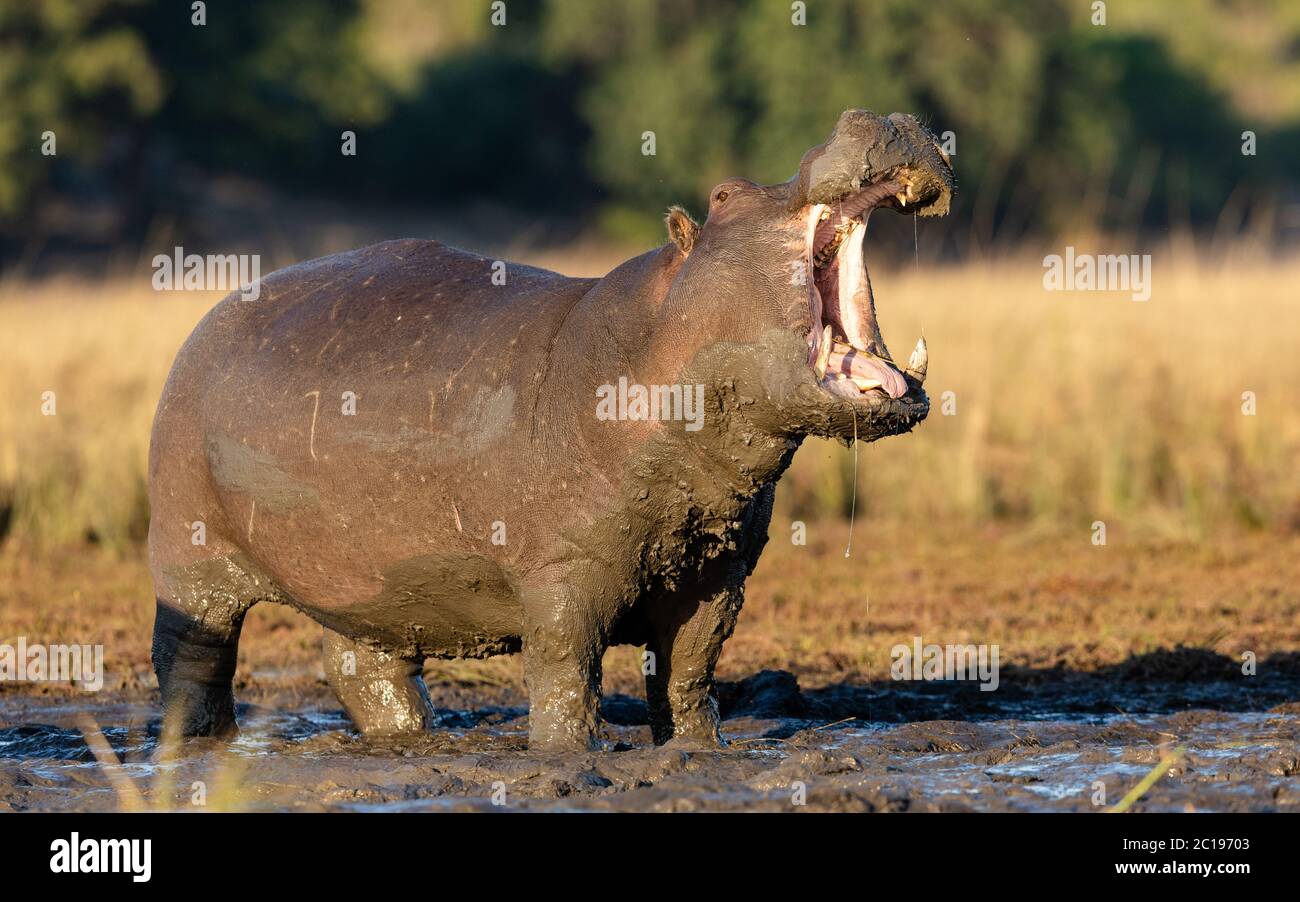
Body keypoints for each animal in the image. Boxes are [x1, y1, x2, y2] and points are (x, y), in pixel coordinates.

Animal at [149, 109, 953, 751]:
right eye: (724, 194)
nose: (870, 114)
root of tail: (207, 319)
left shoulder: (719, 574)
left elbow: (691, 669)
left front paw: (703, 748)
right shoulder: (564, 573)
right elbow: (568, 668)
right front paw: (572, 753)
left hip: (364, 585)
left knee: (361, 662)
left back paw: (409, 738)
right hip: (190, 554)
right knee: (192, 657)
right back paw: (196, 745)